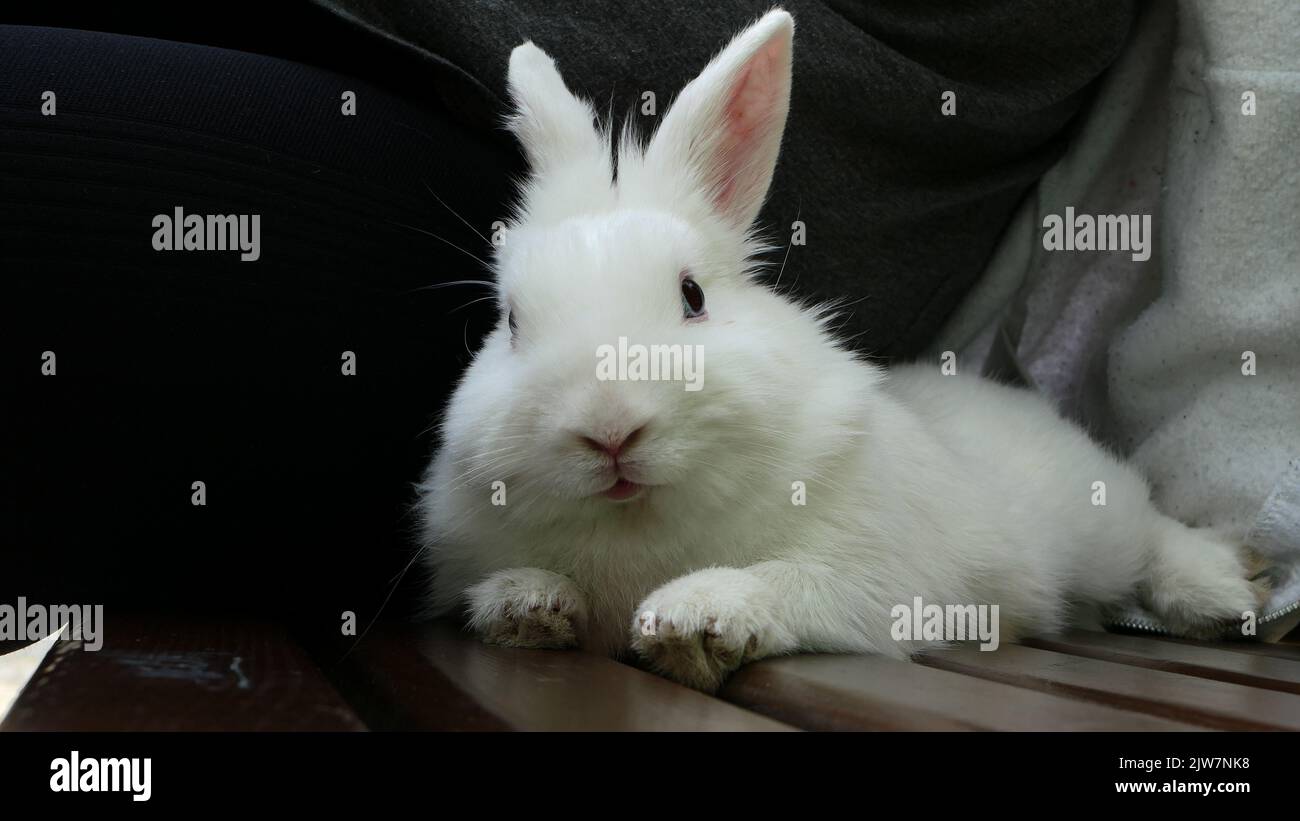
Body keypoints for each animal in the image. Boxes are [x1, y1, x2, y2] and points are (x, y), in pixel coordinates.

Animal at [415, 8, 1260, 692]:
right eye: (512, 322)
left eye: (693, 296)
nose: (609, 430)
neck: (638, 524)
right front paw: (528, 601)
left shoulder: (883, 574)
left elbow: (793, 583)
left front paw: (696, 613)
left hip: (1098, 521)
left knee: (1154, 531)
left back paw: (1224, 592)